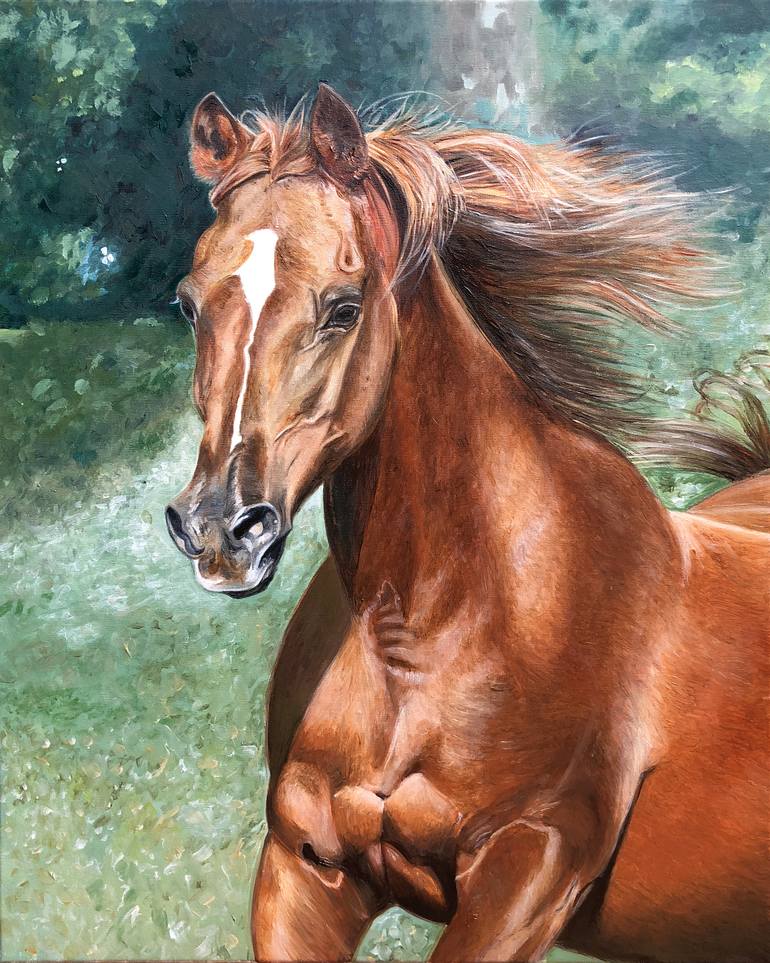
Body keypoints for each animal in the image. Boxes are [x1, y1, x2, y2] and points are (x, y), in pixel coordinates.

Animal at [165, 84, 770, 962]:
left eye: (343, 307)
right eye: (187, 302)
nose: (220, 528)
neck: (430, 629)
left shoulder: (530, 870)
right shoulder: (301, 865)